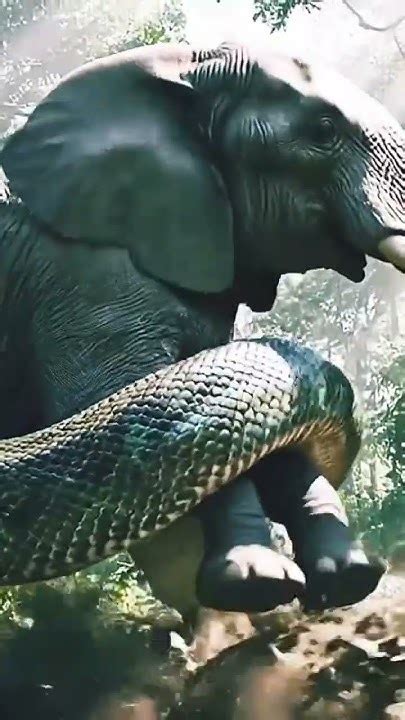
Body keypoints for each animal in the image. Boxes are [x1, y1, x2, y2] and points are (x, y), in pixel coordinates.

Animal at [0, 40, 404, 620]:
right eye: (324, 131)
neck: (180, 67)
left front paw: (347, 577)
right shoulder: (75, 268)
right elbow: (113, 394)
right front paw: (256, 583)